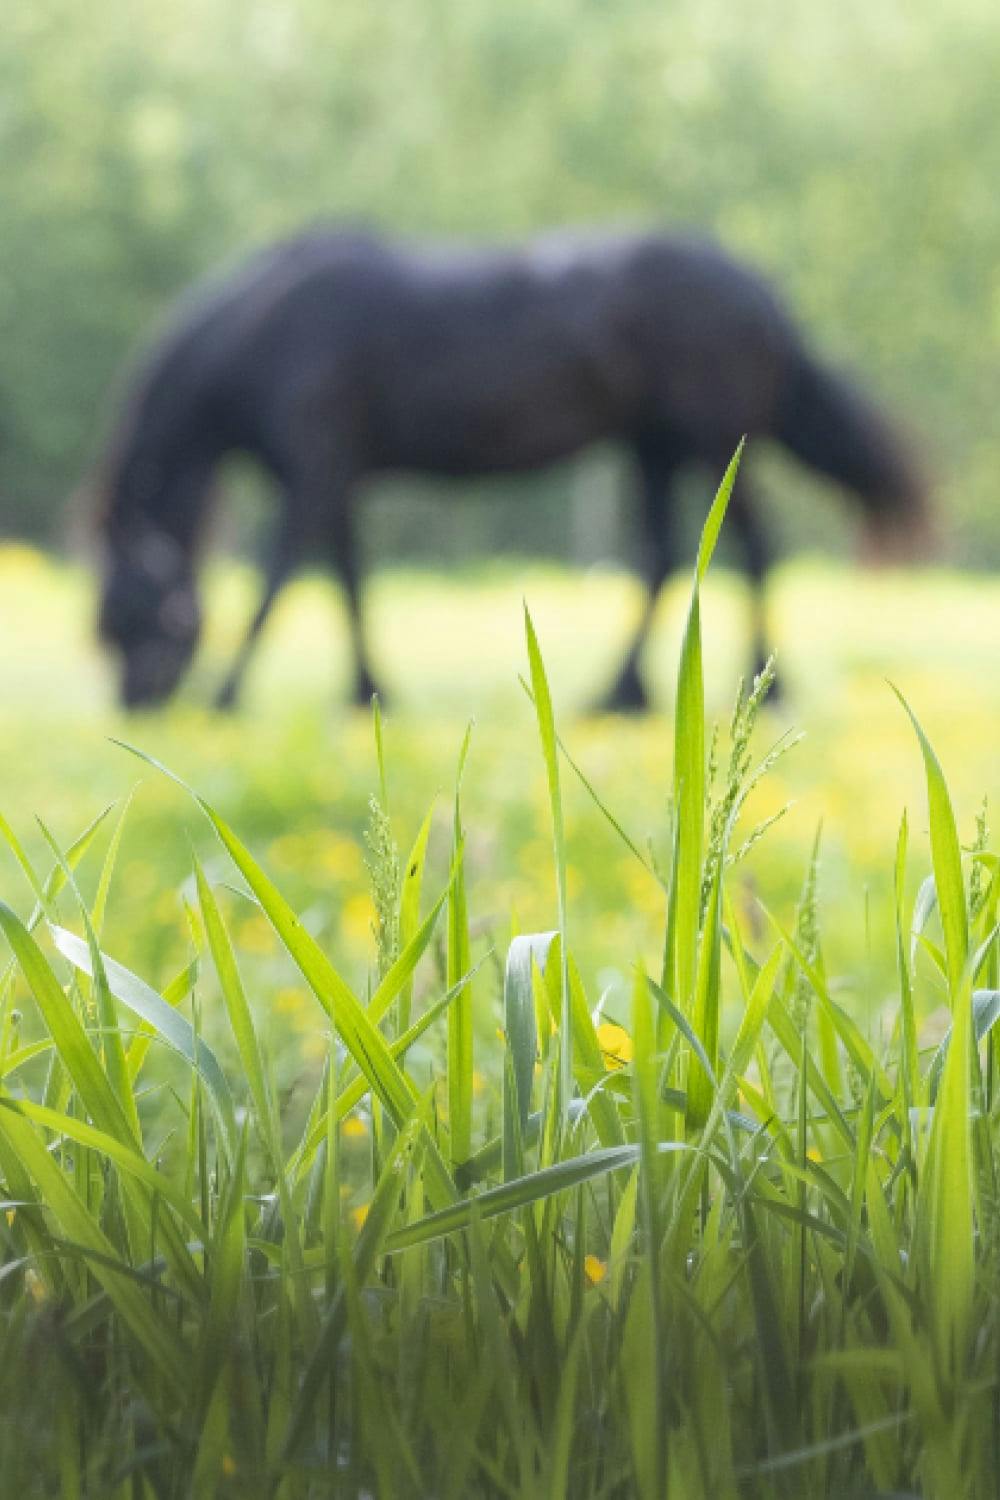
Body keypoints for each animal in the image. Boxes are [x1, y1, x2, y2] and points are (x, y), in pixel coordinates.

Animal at [95, 225, 930, 711]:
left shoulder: (315, 468)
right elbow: (350, 583)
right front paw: (368, 690)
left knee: (751, 547)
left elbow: (278, 580)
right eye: (104, 629)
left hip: (711, 443)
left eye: (135, 617)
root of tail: (759, 287)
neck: (267, 330)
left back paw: (763, 682)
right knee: (662, 558)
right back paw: (621, 694)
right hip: (651, 448)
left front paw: (226, 693)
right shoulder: (339, 480)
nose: (135, 704)